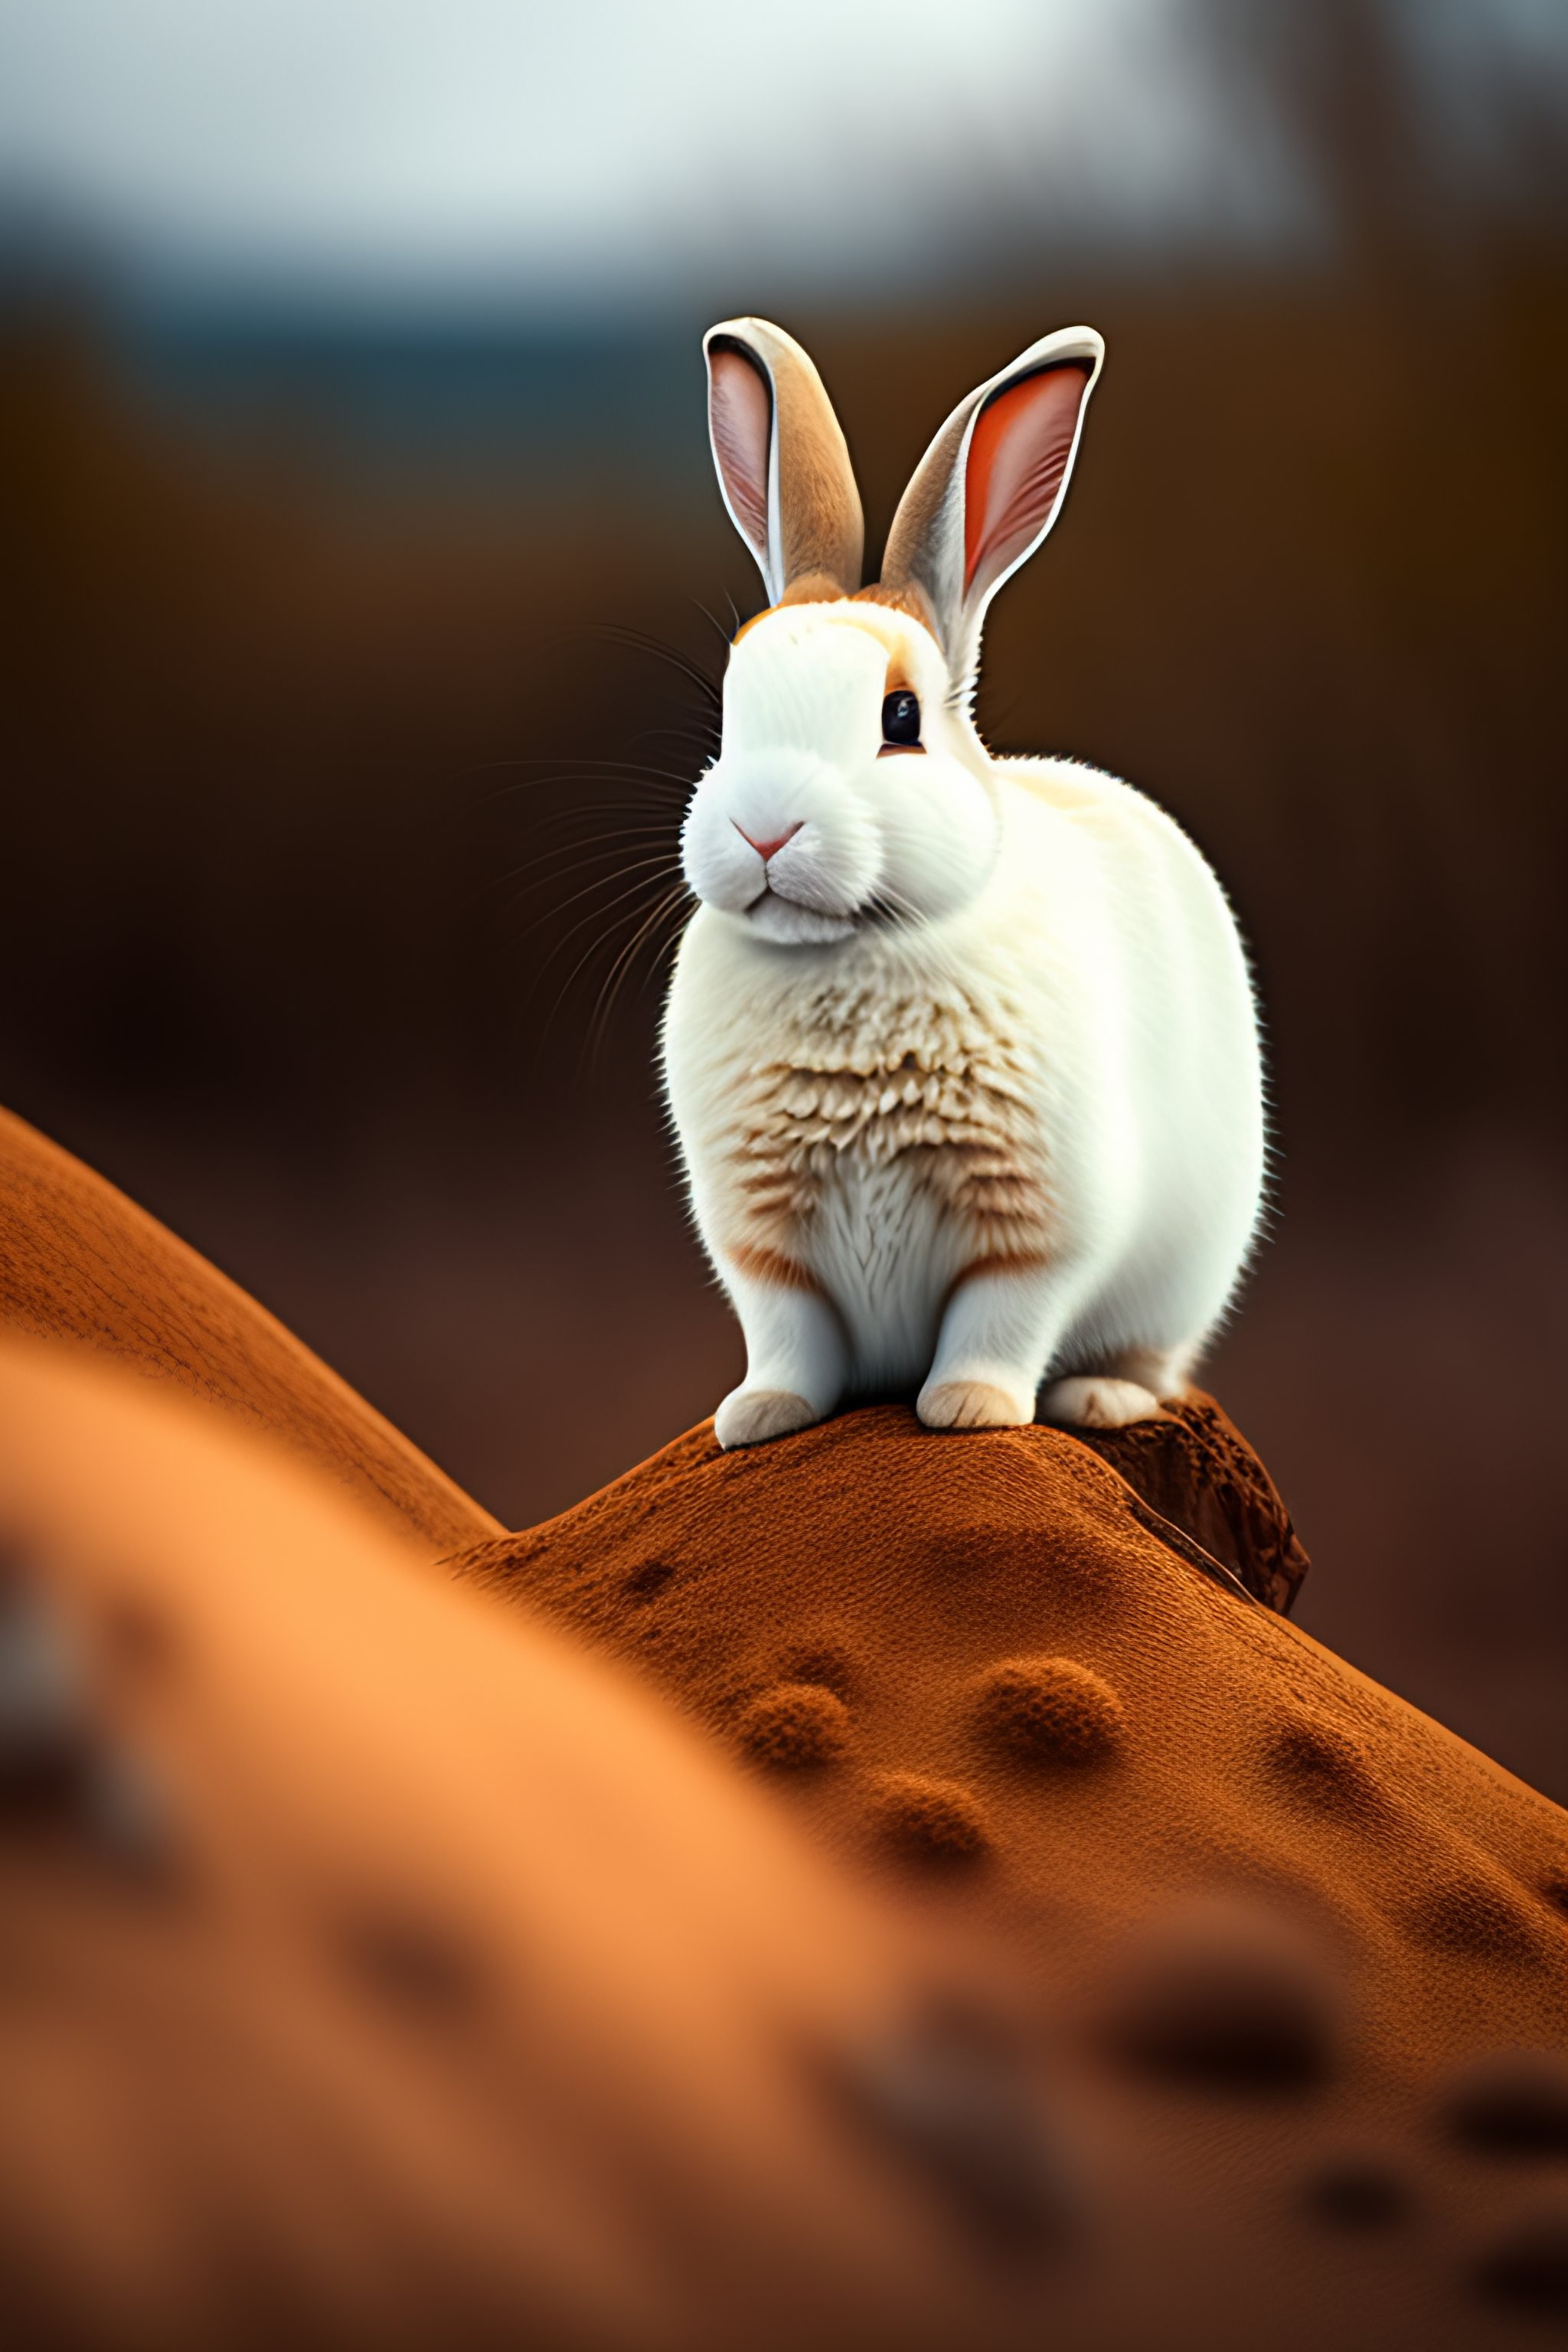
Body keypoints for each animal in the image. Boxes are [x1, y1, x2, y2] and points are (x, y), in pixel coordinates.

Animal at [663, 316, 1265, 1451]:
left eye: (899, 719)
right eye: (730, 716)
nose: (763, 828)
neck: (850, 948)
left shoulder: (1036, 1226)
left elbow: (999, 1318)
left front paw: (969, 1410)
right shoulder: (764, 1241)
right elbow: (790, 1336)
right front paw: (758, 1418)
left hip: (1185, 1269)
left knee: (1148, 1357)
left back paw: (1099, 1396)